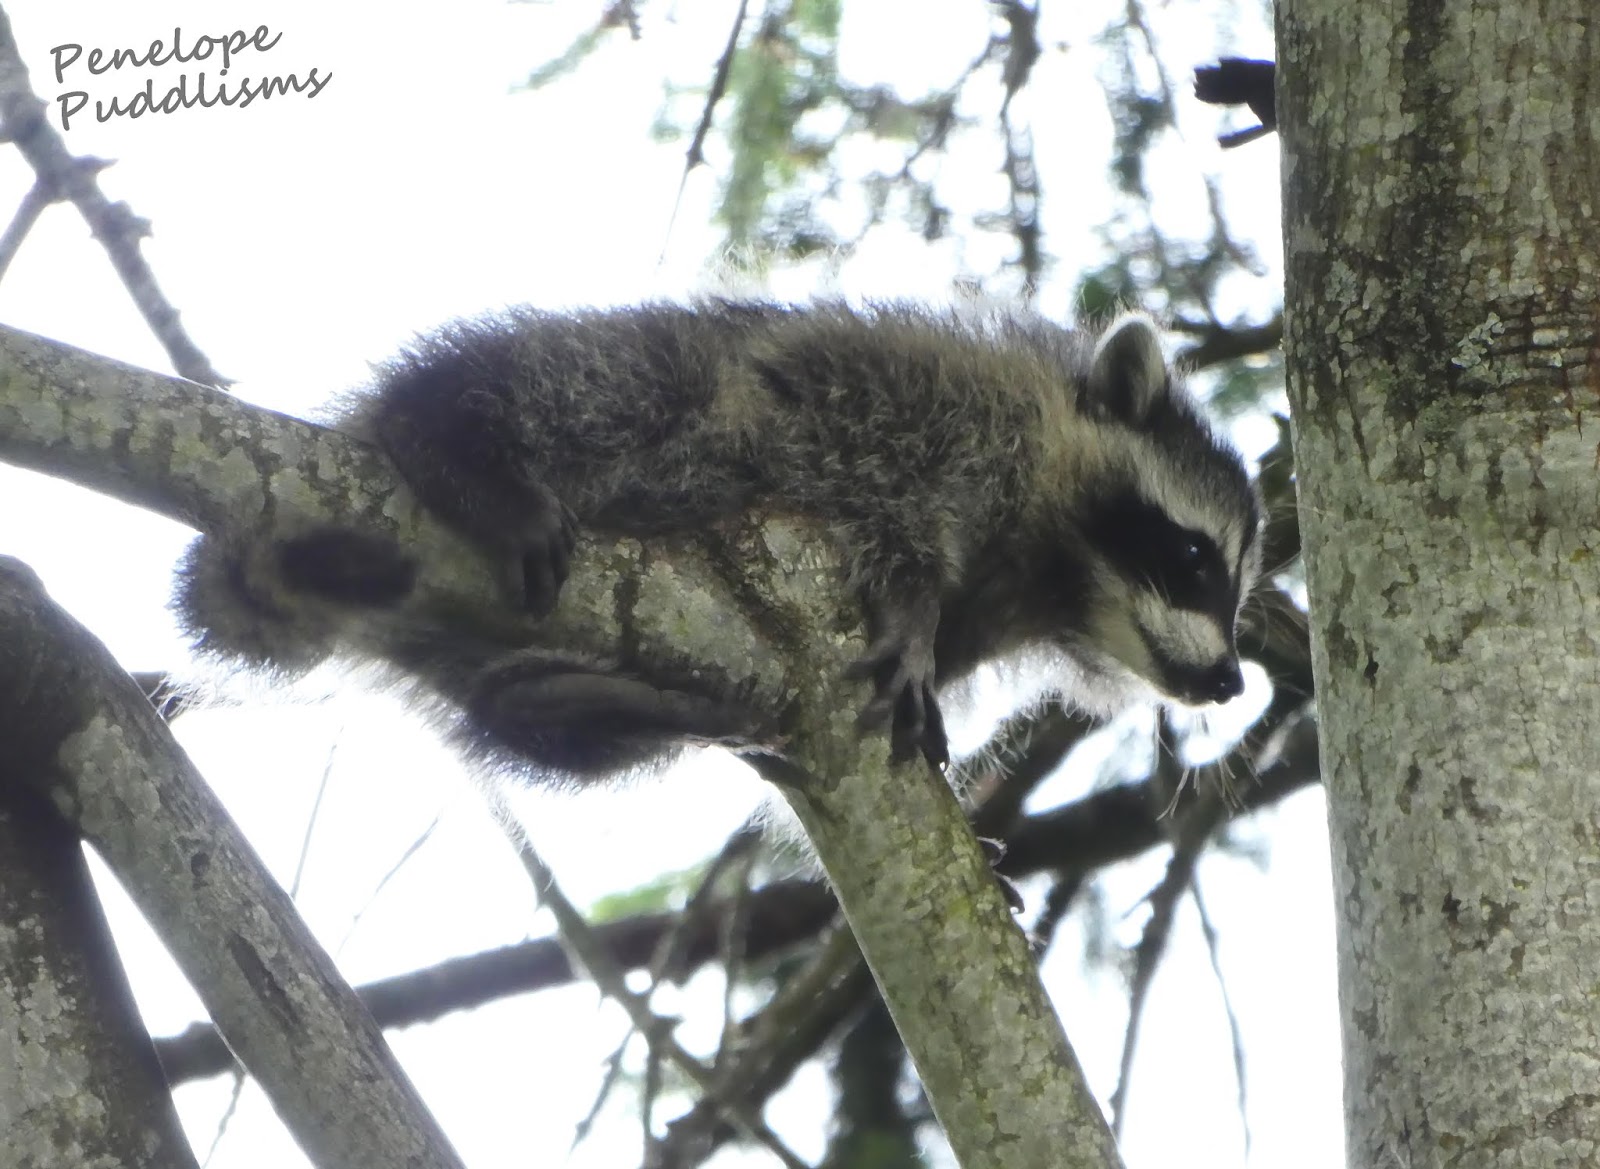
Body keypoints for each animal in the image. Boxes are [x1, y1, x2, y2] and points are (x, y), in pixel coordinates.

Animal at [176, 301, 1261, 782]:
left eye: (1240, 589)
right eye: (1195, 558)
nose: (1230, 680)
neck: (1056, 574)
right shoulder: (918, 404)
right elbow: (888, 507)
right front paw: (909, 609)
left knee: (528, 723)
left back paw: (576, 703)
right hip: (650, 382)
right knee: (591, 383)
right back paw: (450, 437)